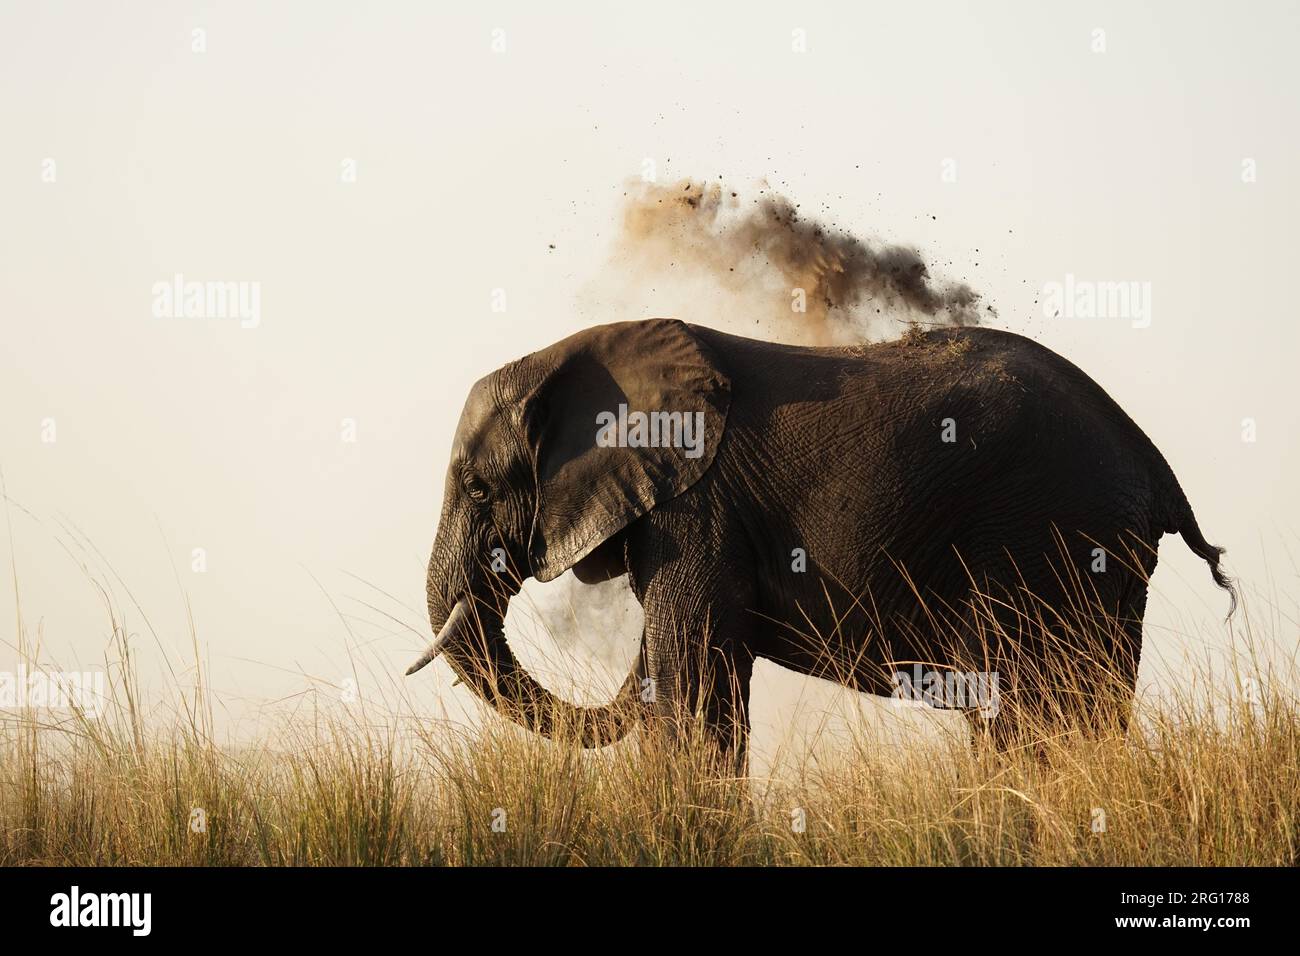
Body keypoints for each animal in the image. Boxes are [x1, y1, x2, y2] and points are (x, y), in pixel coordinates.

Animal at [408, 318, 1233, 758]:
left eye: (478, 489)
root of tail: (1151, 461)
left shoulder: (699, 509)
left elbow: (689, 679)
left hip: (1052, 533)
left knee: (1038, 703)